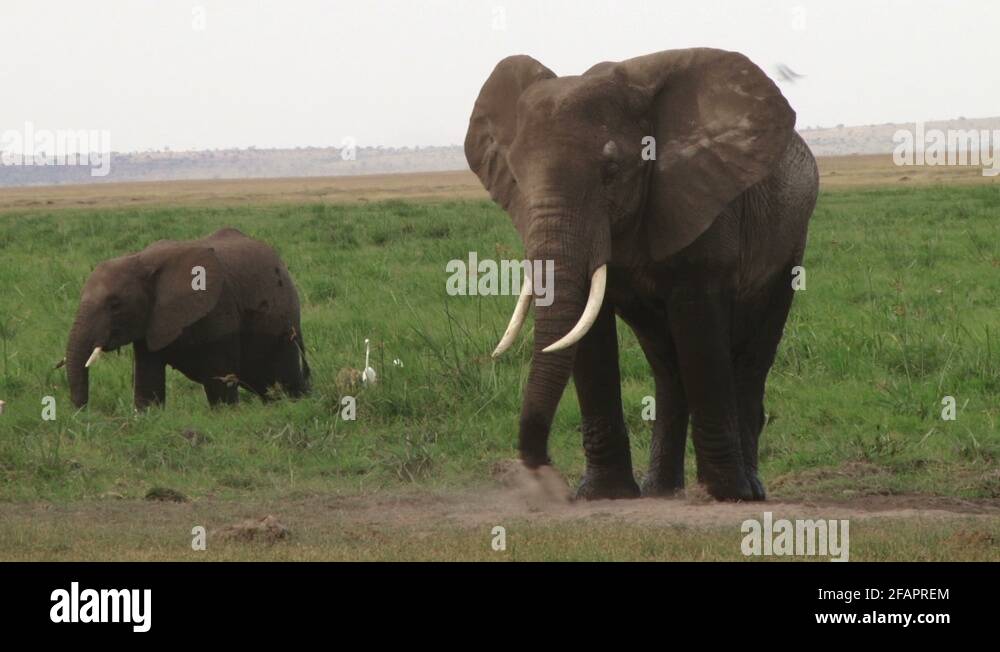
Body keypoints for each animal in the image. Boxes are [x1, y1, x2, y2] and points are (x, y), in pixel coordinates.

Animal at [66, 227, 310, 409]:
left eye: (115, 305)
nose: (83, 412)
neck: (140, 260)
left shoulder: (219, 308)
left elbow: (219, 383)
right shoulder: (151, 322)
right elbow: (148, 383)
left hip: (284, 319)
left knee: (287, 377)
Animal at [465, 48, 818, 501]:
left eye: (612, 171)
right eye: (515, 177)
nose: (539, 471)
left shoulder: (704, 203)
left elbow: (700, 330)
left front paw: (724, 493)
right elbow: (588, 335)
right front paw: (603, 494)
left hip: (791, 240)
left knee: (751, 358)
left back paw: (747, 490)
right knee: (667, 364)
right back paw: (661, 491)